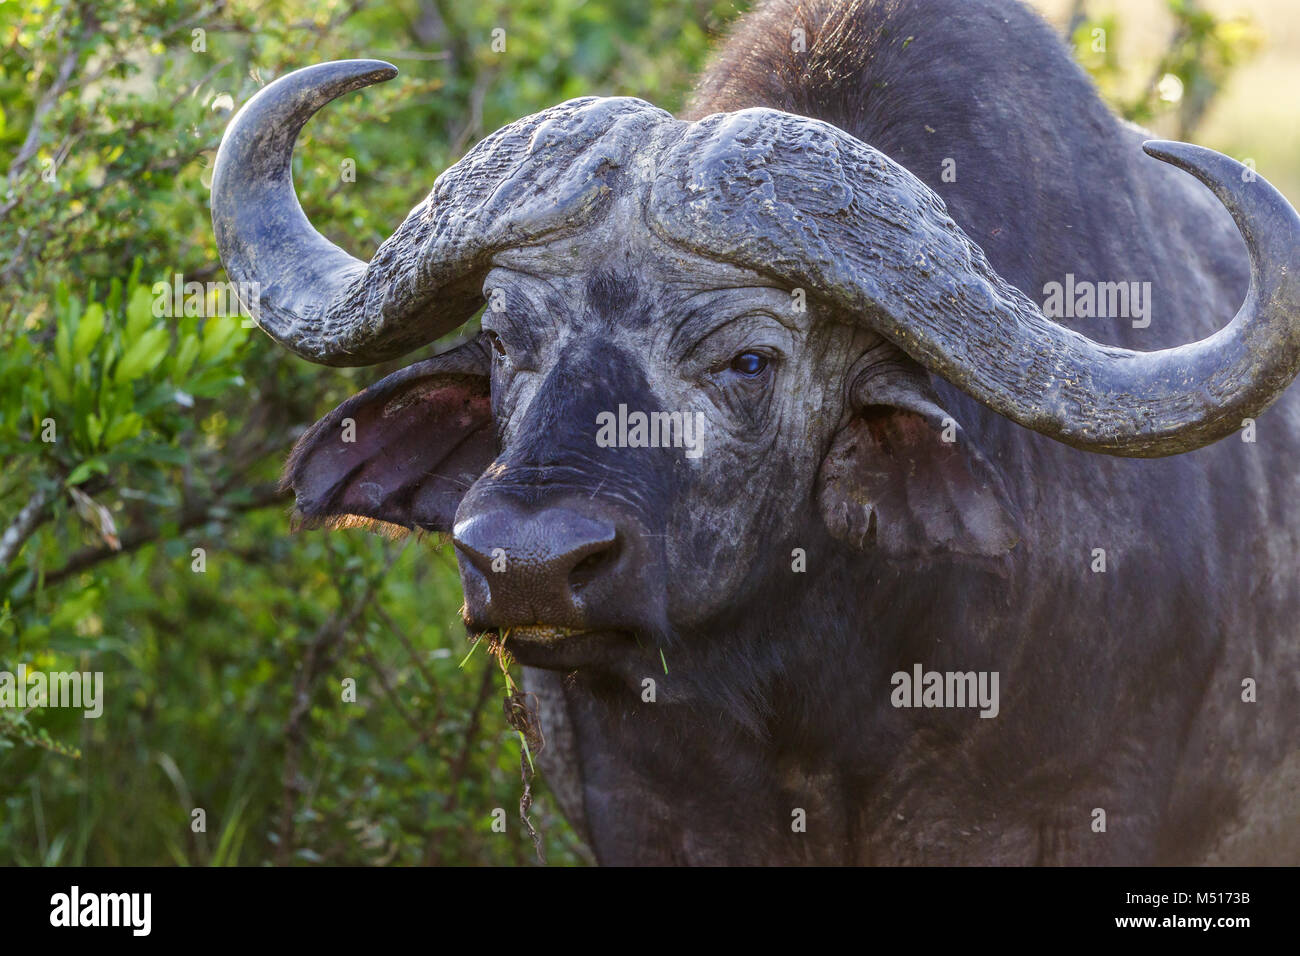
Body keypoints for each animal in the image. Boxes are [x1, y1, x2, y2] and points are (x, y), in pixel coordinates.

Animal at [211, 0, 1300, 864]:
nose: (528, 564)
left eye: (748, 360)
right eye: (504, 338)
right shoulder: (643, 807)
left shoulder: (1050, 808)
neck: (808, 679)